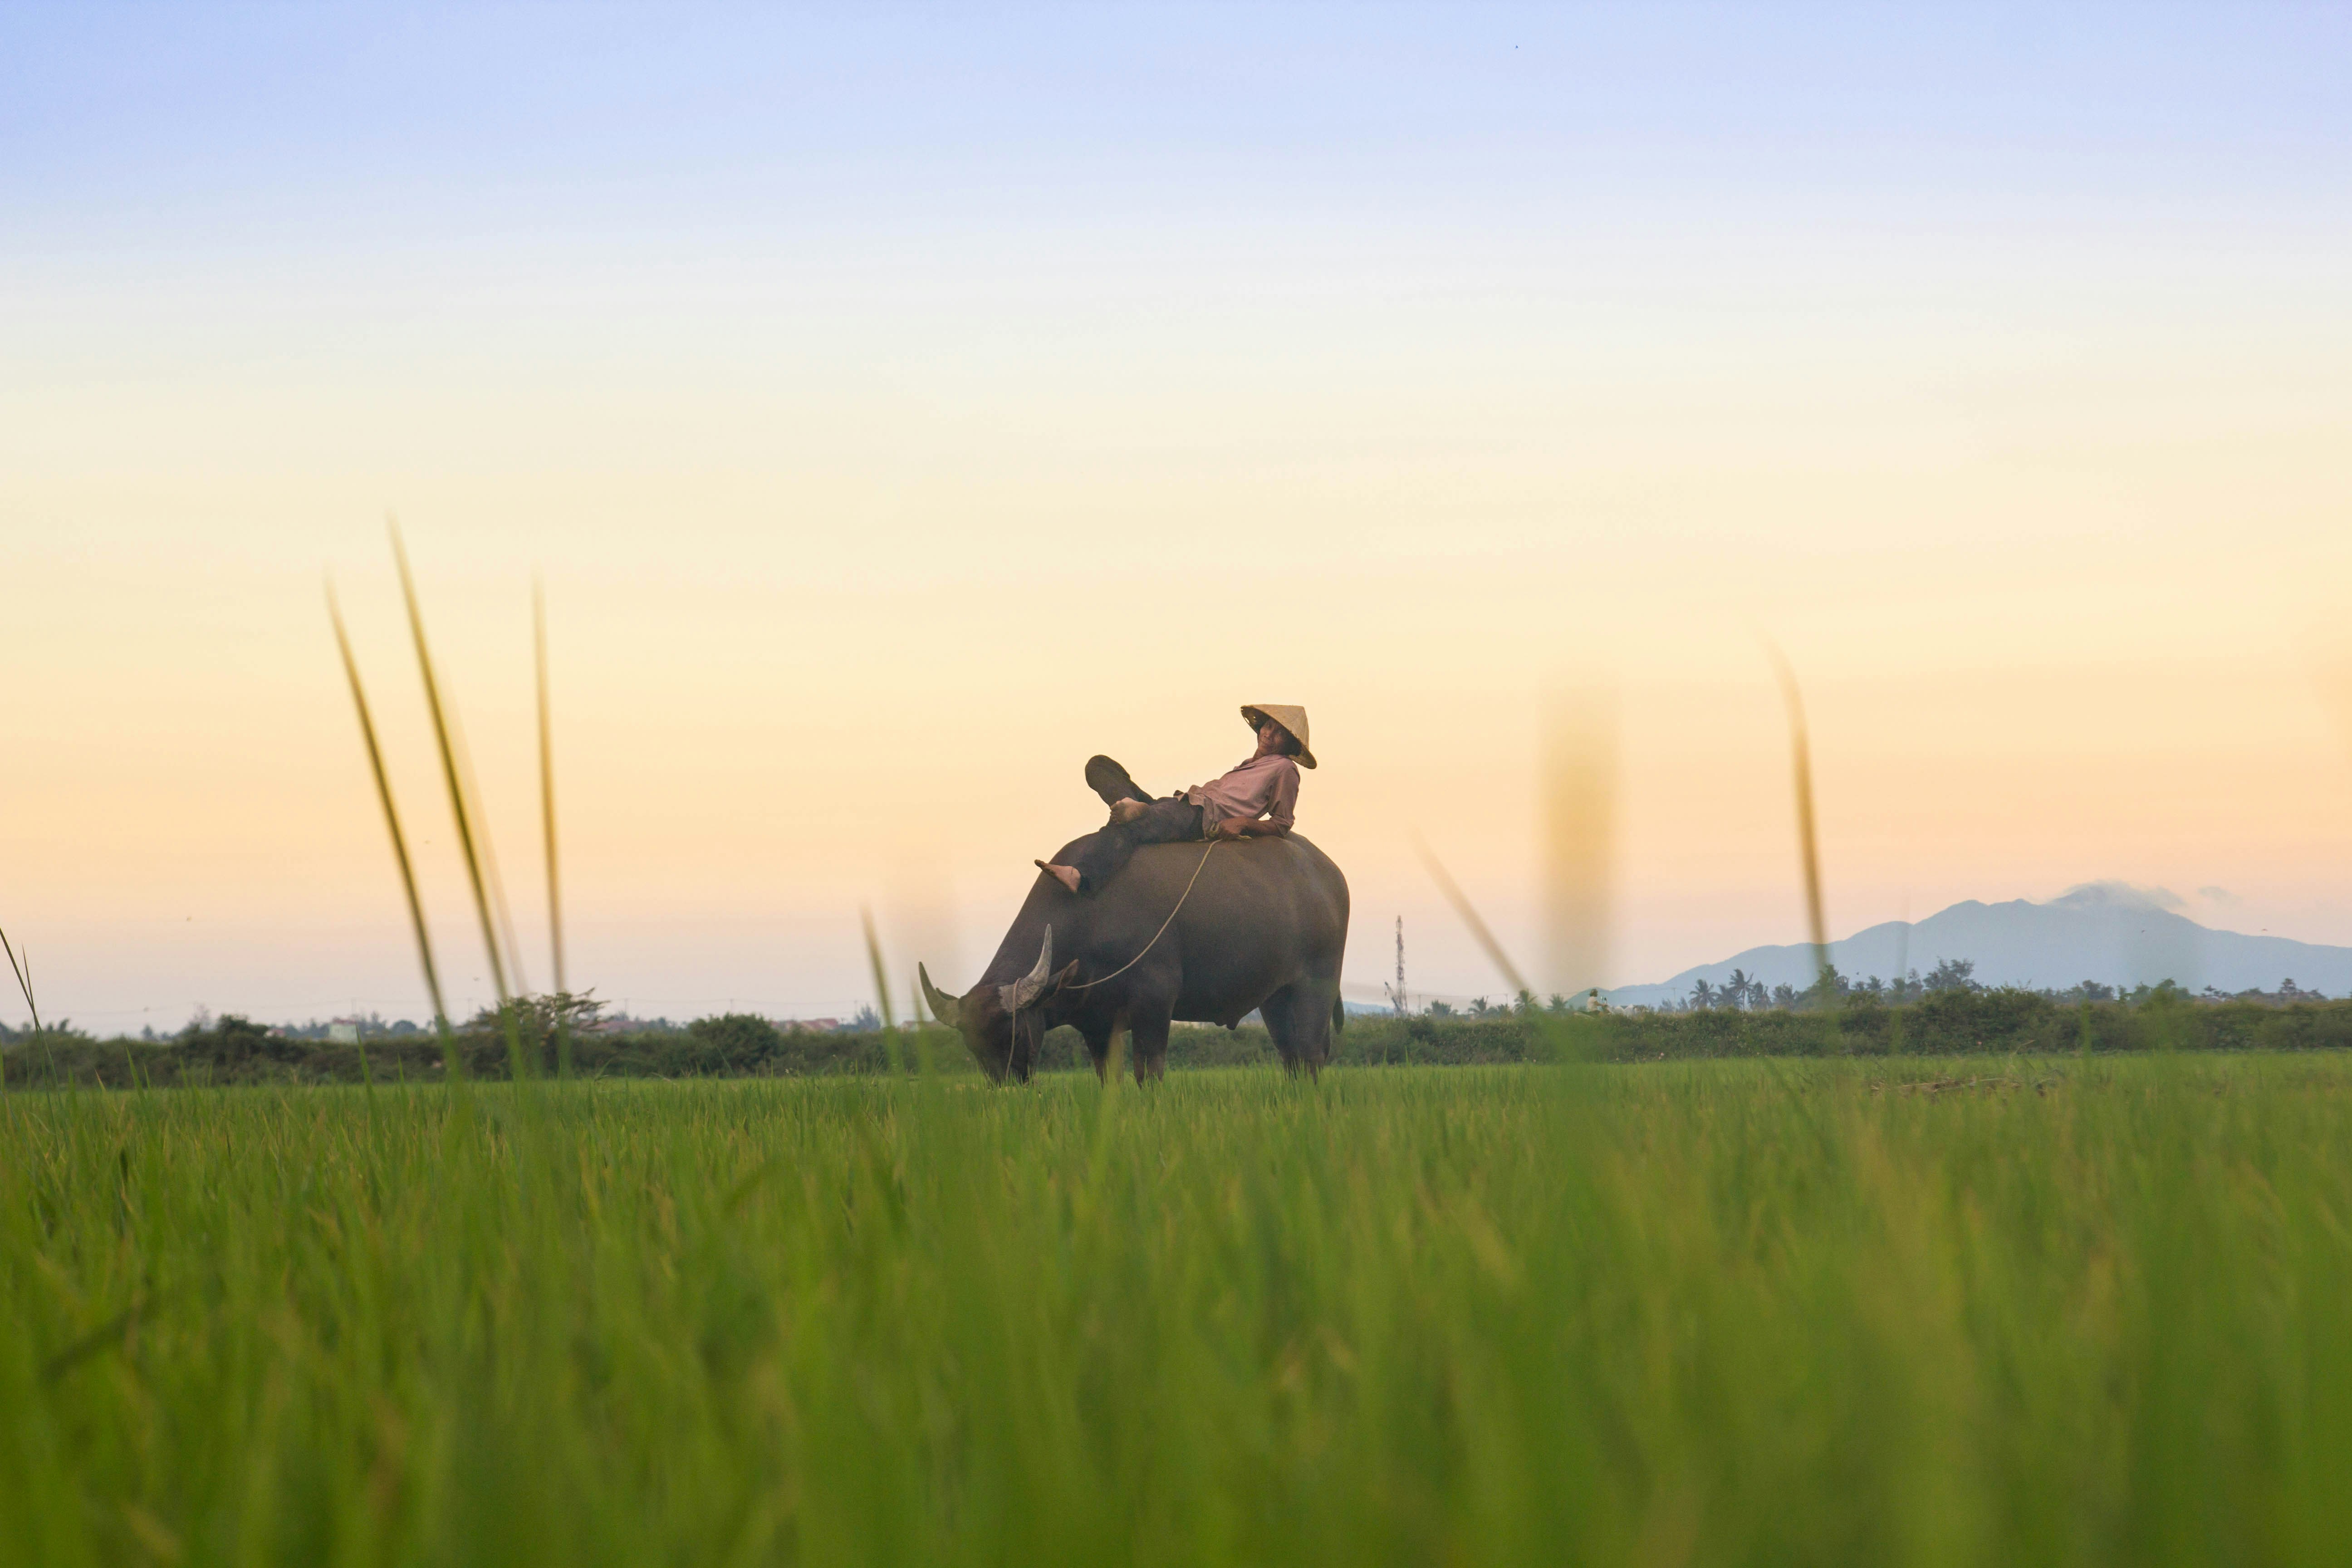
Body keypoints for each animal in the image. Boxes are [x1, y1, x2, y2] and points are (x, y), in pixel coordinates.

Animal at [922, 832, 1354, 1081]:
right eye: (973, 1047)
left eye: (1012, 1034)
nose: (1008, 1088)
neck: (1090, 915)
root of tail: (1328, 873)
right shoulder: (1097, 1026)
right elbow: (1108, 1080)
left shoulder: (1154, 1004)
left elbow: (1149, 1072)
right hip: (1275, 997)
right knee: (1291, 1056)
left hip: (1317, 984)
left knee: (1311, 1054)